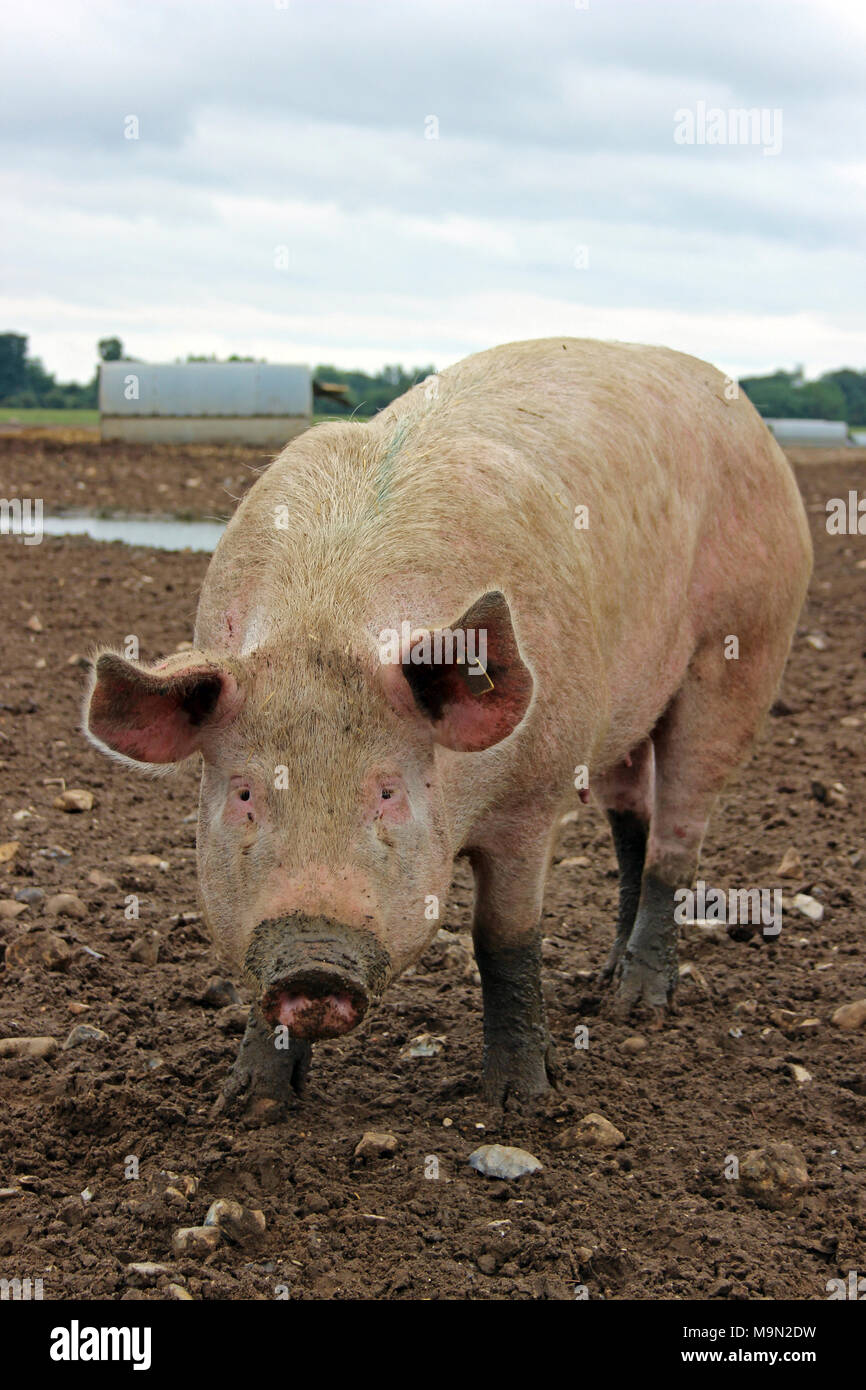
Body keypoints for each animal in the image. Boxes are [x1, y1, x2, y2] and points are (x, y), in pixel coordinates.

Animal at [84, 338, 812, 1109]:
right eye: (244, 793)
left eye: (388, 792)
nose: (312, 966)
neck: (327, 616)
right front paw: (249, 1105)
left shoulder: (535, 793)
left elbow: (503, 940)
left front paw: (521, 1103)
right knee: (630, 821)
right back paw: (605, 979)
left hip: (744, 650)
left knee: (679, 831)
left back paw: (637, 1005)